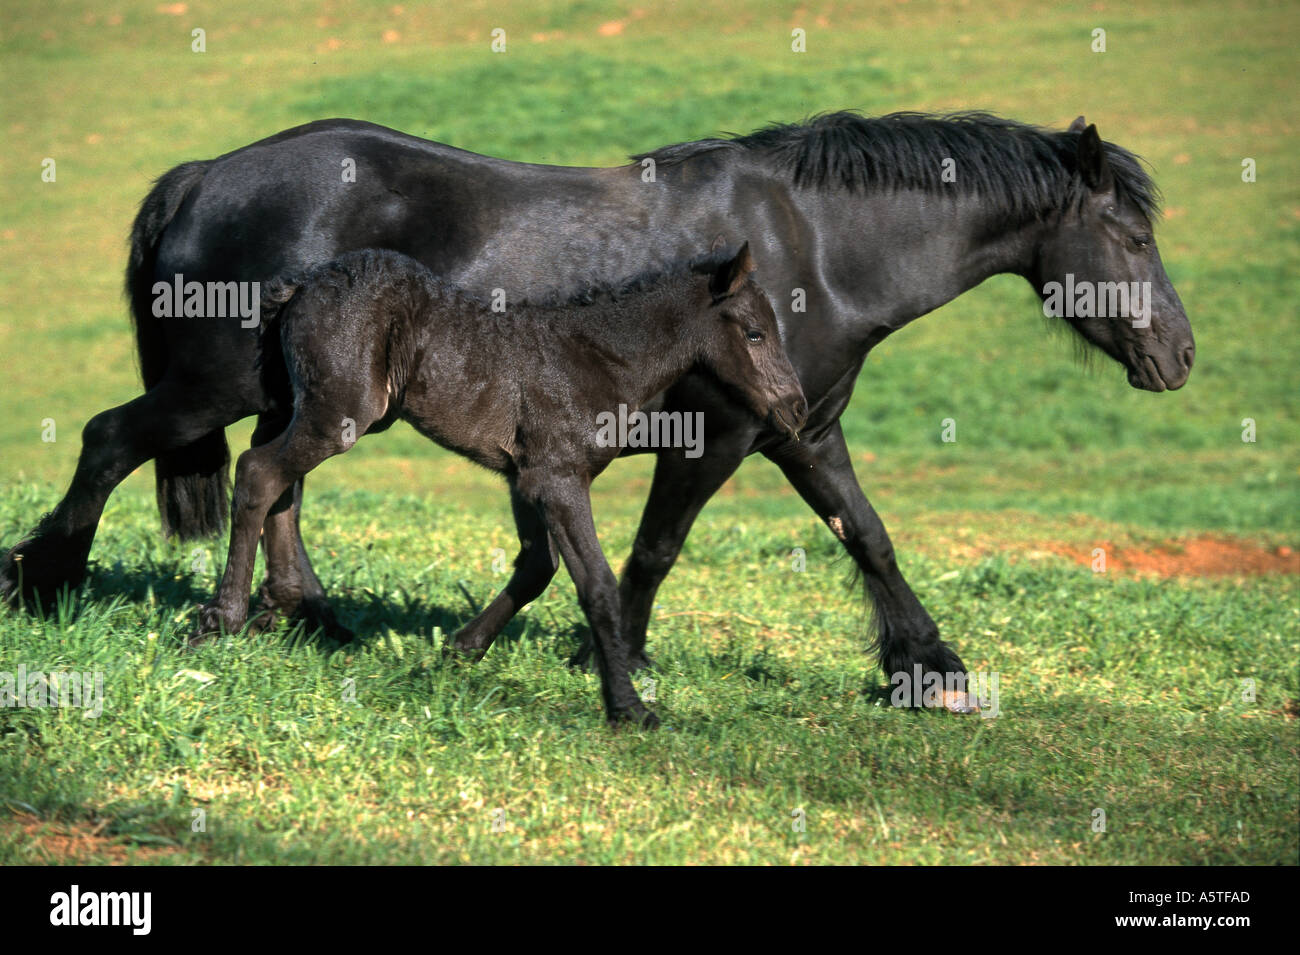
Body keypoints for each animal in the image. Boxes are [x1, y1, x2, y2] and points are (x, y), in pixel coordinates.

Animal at [191, 244, 807, 727]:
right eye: (754, 333)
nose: (797, 410)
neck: (598, 359)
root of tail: (300, 287)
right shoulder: (559, 478)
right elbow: (597, 586)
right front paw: (629, 708)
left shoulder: (523, 478)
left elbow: (537, 567)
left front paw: (459, 651)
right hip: (339, 414)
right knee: (259, 472)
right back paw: (224, 617)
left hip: (303, 406)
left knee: (279, 484)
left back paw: (277, 603)